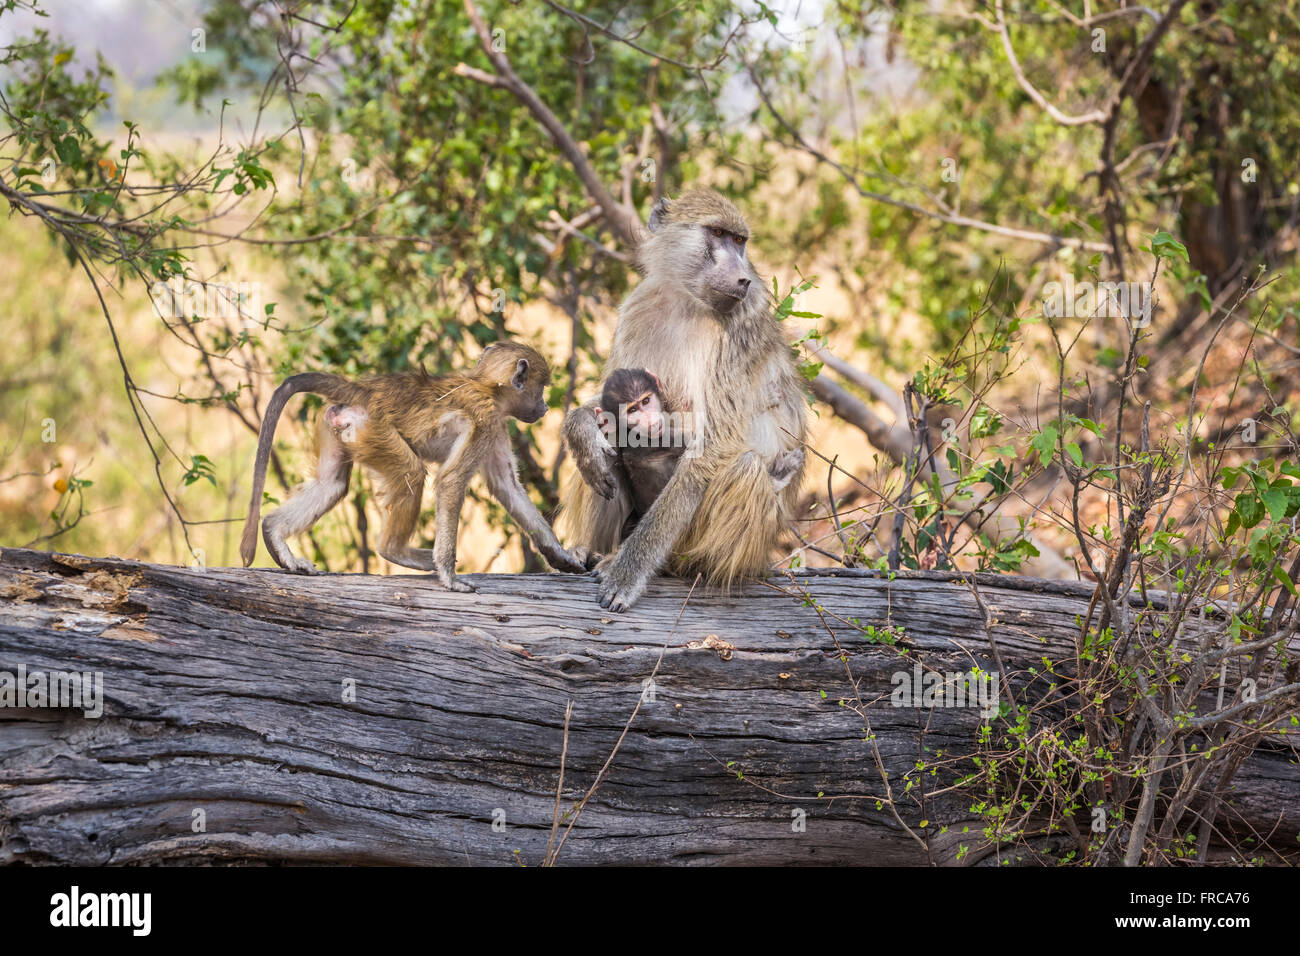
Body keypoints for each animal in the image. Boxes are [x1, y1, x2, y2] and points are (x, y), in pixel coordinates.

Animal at [239, 341, 588, 591]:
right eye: (541, 389)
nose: (544, 407)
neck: (487, 388)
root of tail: (368, 391)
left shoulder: (497, 427)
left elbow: (507, 486)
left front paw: (561, 556)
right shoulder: (487, 422)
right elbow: (451, 481)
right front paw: (449, 577)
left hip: (338, 425)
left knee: (331, 485)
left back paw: (274, 535)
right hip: (375, 430)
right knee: (411, 473)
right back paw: (398, 551)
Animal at [560, 189, 808, 611]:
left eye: (739, 241)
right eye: (718, 233)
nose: (743, 277)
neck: (687, 300)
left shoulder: (740, 329)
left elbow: (714, 442)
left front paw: (628, 573)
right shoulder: (639, 306)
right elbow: (608, 404)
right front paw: (578, 428)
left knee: (744, 466)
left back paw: (674, 564)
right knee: (606, 443)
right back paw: (590, 550)